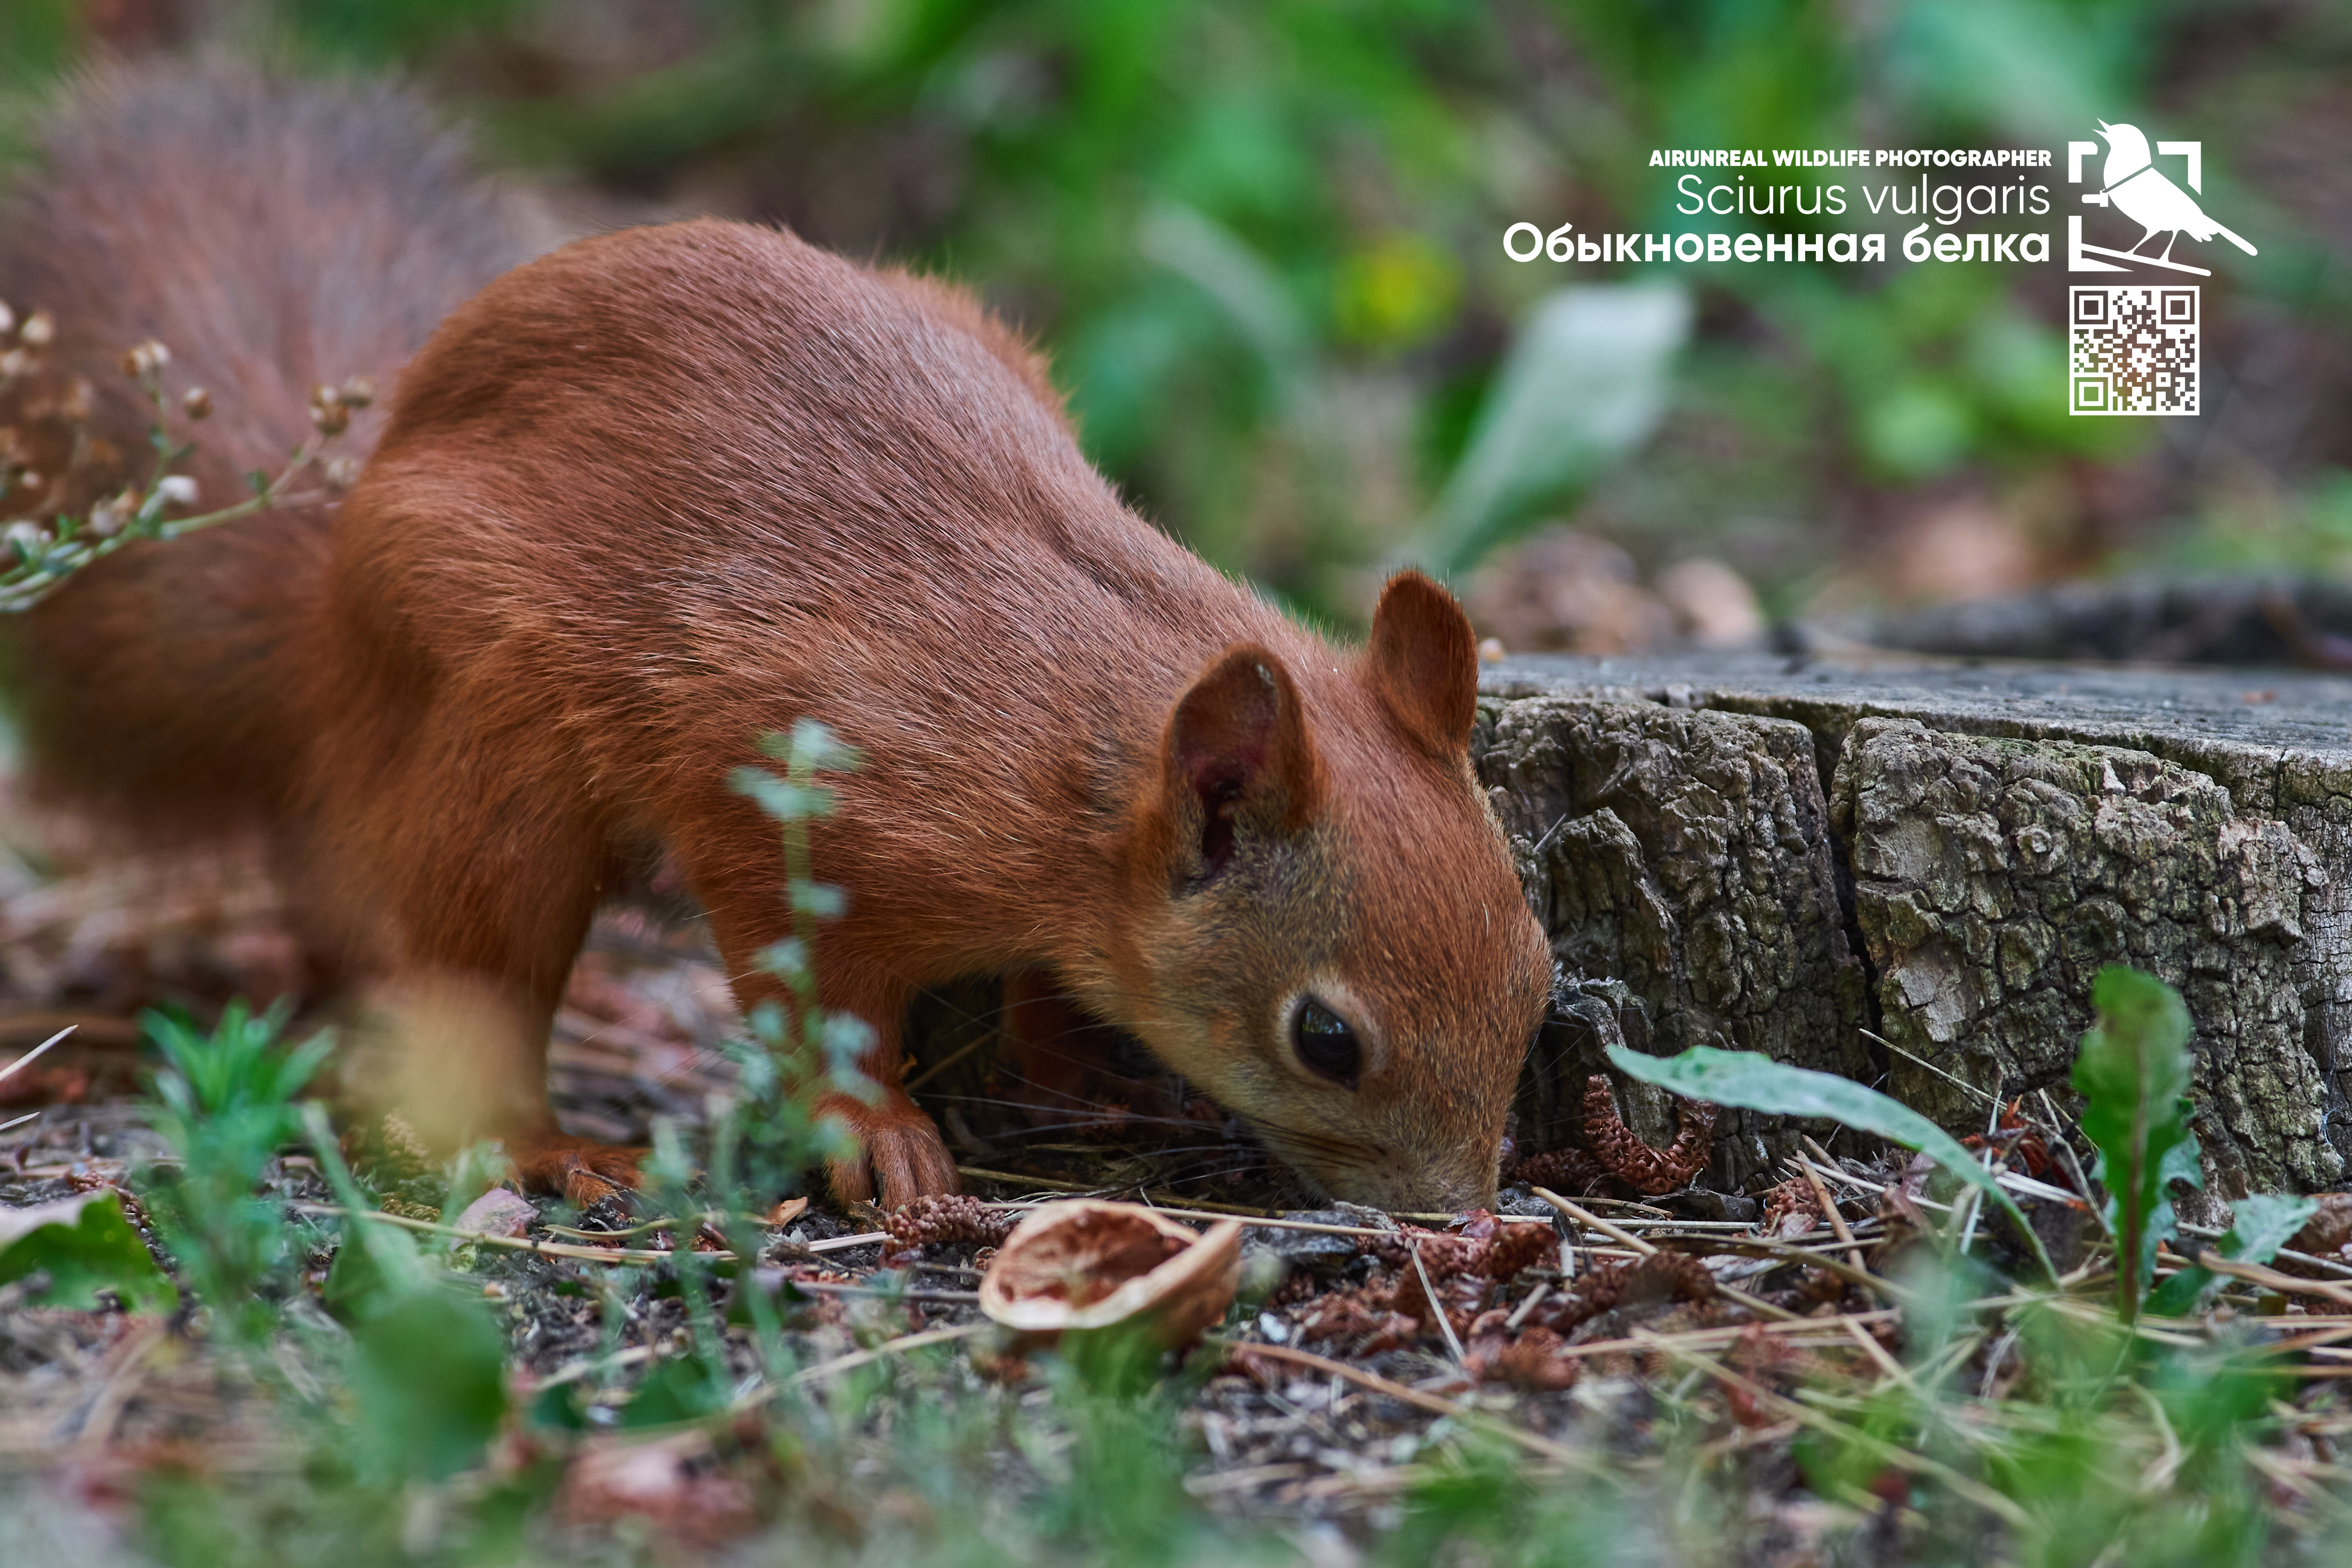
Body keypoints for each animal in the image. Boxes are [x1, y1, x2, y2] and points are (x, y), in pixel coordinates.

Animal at [13, 64, 1562, 1213]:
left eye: (1539, 966)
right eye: (1326, 1040)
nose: (1463, 1216)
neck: (1074, 745)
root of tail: (327, 607)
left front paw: (1070, 1056)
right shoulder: (784, 790)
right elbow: (806, 989)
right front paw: (870, 1127)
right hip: (490, 755)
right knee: (470, 979)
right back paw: (547, 1146)